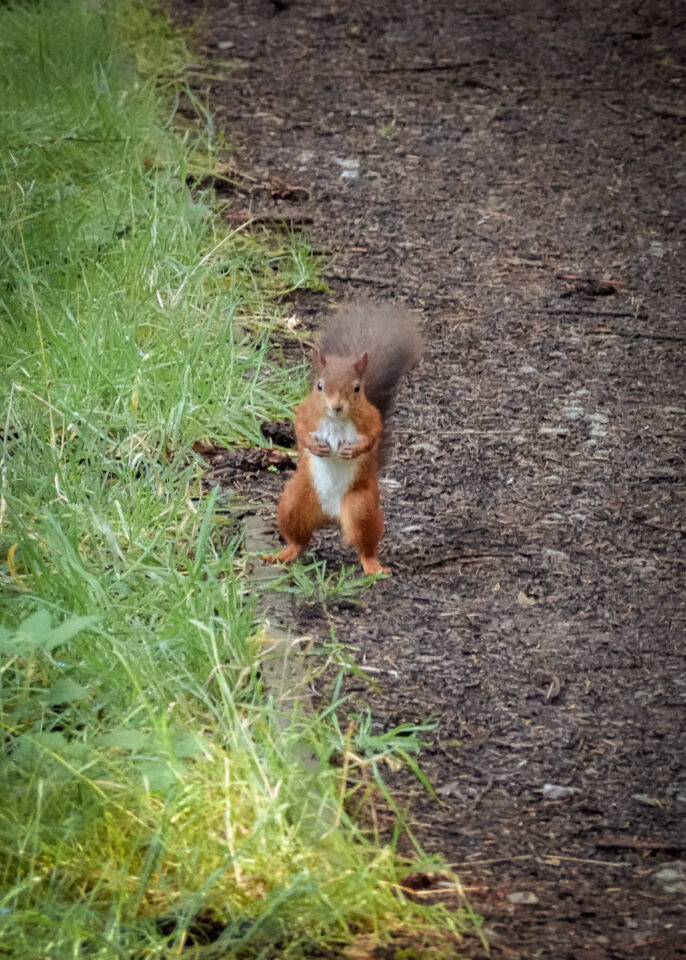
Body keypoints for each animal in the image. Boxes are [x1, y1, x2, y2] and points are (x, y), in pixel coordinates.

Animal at [265, 299, 423, 576]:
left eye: (357, 388)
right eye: (319, 386)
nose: (337, 406)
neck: (337, 421)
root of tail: (330, 515)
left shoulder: (371, 419)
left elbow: (373, 436)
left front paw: (353, 450)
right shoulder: (305, 414)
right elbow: (299, 430)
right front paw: (315, 447)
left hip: (361, 508)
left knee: (365, 547)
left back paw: (374, 568)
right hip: (294, 502)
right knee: (298, 539)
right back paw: (282, 554)